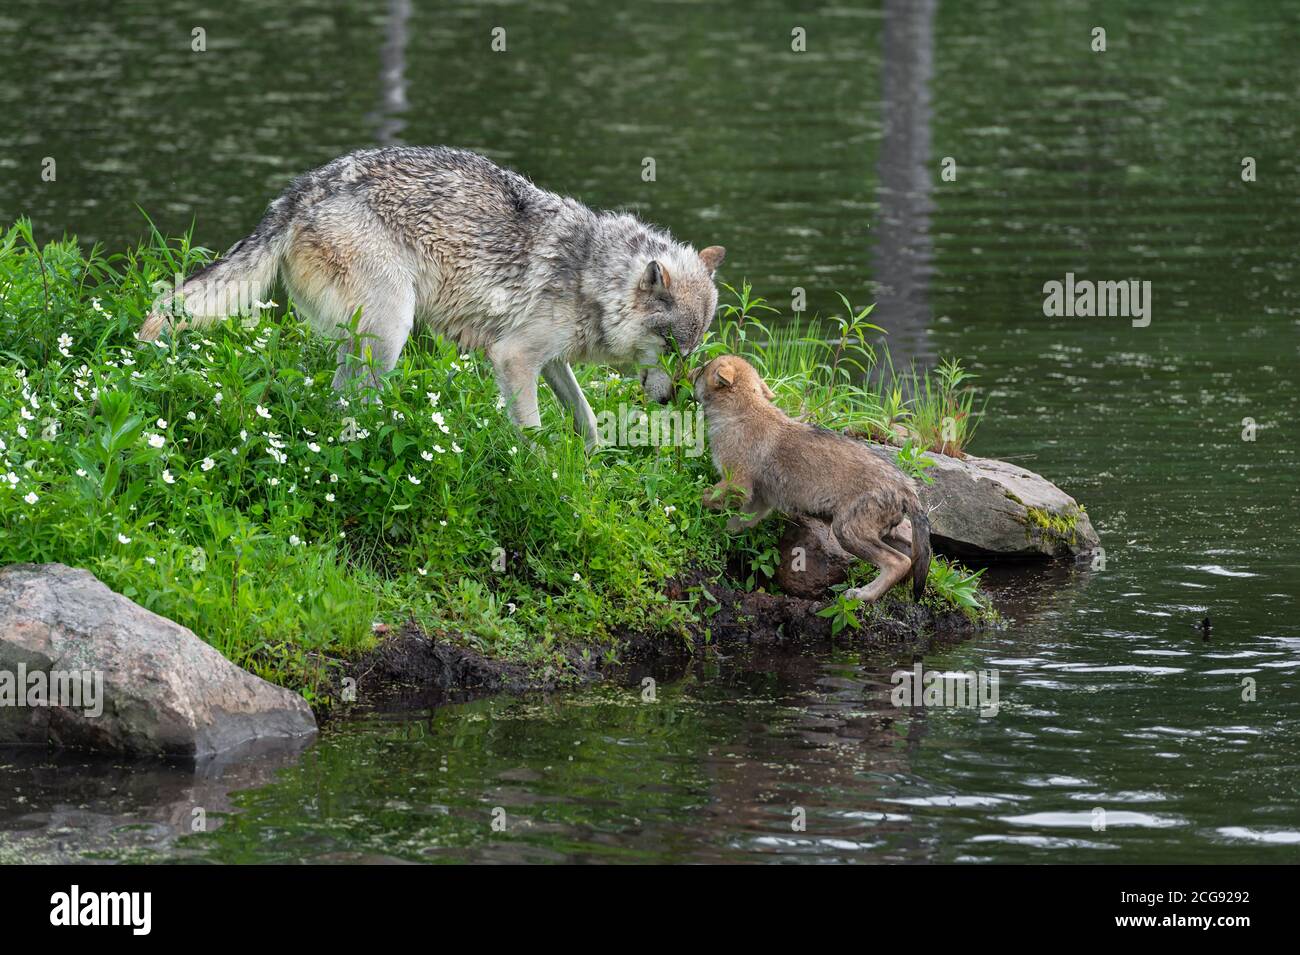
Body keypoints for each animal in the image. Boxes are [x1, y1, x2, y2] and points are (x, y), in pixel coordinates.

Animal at [138, 146, 725, 444]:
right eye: (671, 348)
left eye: (692, 353)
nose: (672, 399)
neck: (591, 273)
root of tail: (300, 194)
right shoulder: (513, 357)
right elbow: (533, 434)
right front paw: (543, 482)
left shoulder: (549, 359)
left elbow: (585, 417)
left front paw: (588, 467)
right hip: (392, 327)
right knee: (349, 405)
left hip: (368, 337)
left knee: (336, 399)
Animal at [692, 354, 931, 603]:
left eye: (702, 368)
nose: (689, 371)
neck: (740, 411)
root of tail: (907, 486)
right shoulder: (760, 501)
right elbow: (732, 524)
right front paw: (715, 536)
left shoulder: (738, 485)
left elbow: (703, 497)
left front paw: (691, 509)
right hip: (888, 532)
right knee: (916, 554)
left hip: (846, 531)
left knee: (898, 561)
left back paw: (862, 594)